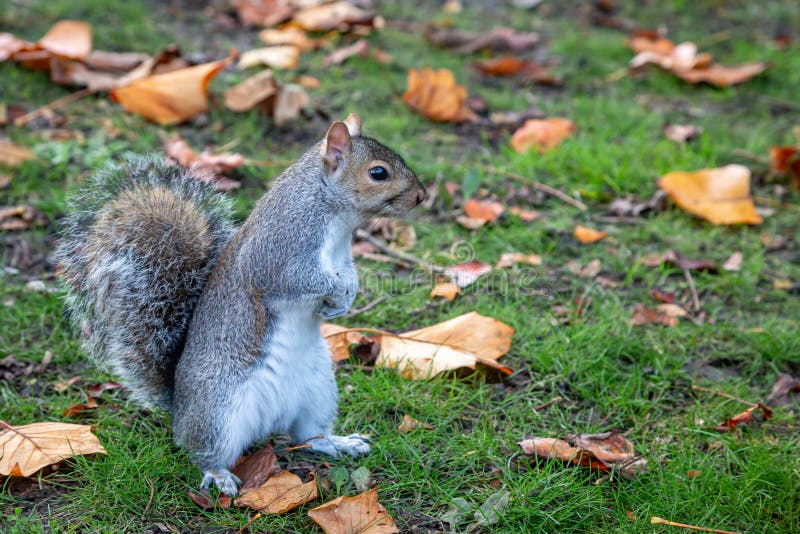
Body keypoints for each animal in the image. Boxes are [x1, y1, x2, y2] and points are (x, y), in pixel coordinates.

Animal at [56, 114, 426, 496]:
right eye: (378, 173)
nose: (421, 195)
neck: (331, 213)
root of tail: (179, 412)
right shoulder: (279, 251)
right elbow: (301, 279)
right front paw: (336, 289)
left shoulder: (342, 256)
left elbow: (349, 273)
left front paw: (344, 297)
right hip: (217, 411)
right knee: (202, 452)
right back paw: (219, 475)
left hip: (319, 390)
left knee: (308, 435)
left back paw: (339, 443)